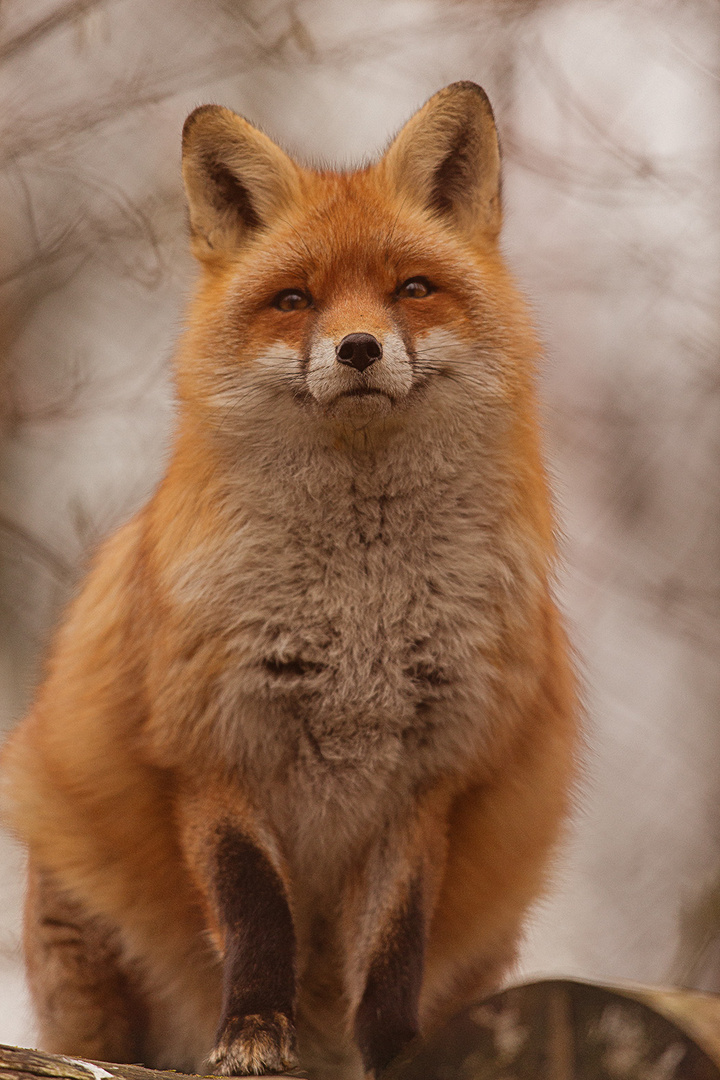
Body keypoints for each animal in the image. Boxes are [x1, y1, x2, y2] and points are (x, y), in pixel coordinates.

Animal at [1, 82, 577, 1080]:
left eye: (411, 289)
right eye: (294, 299)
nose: (357, 348)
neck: (361, 610)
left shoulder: (426, 780)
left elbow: (393, 953)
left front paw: (395, 1053)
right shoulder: (212, 748)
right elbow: (256, 913)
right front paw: (253, 1033)